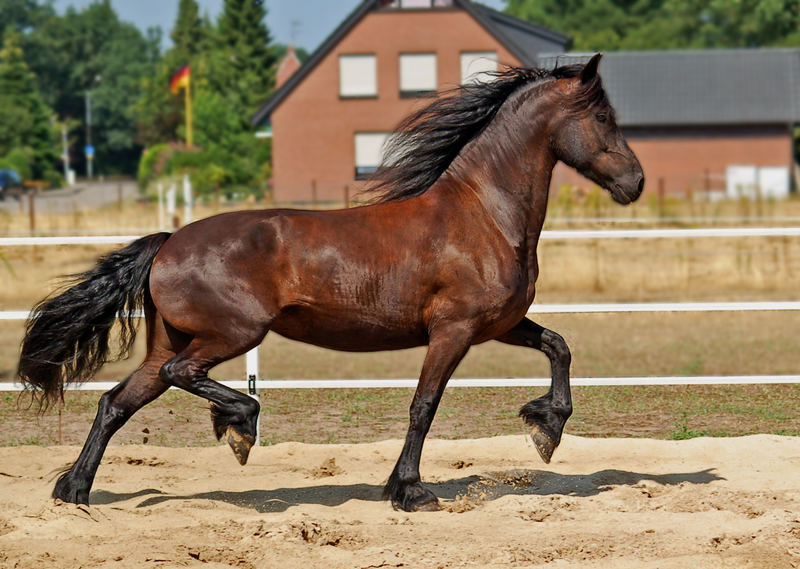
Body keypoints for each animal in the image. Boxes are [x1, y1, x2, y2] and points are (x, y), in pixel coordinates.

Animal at [17, 54, 643, 512]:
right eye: (604, 119)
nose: (635, 182)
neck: (484, 214)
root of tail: (168, 242)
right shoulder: (454, 330)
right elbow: (424, 405)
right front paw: (409, 491)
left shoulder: (498, 324)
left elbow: (558, 346)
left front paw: (547, 429)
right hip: (232, 333)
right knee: (179, 377)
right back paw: (238, 425)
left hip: (173, 338)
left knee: (117, 402)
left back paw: (74, 490)